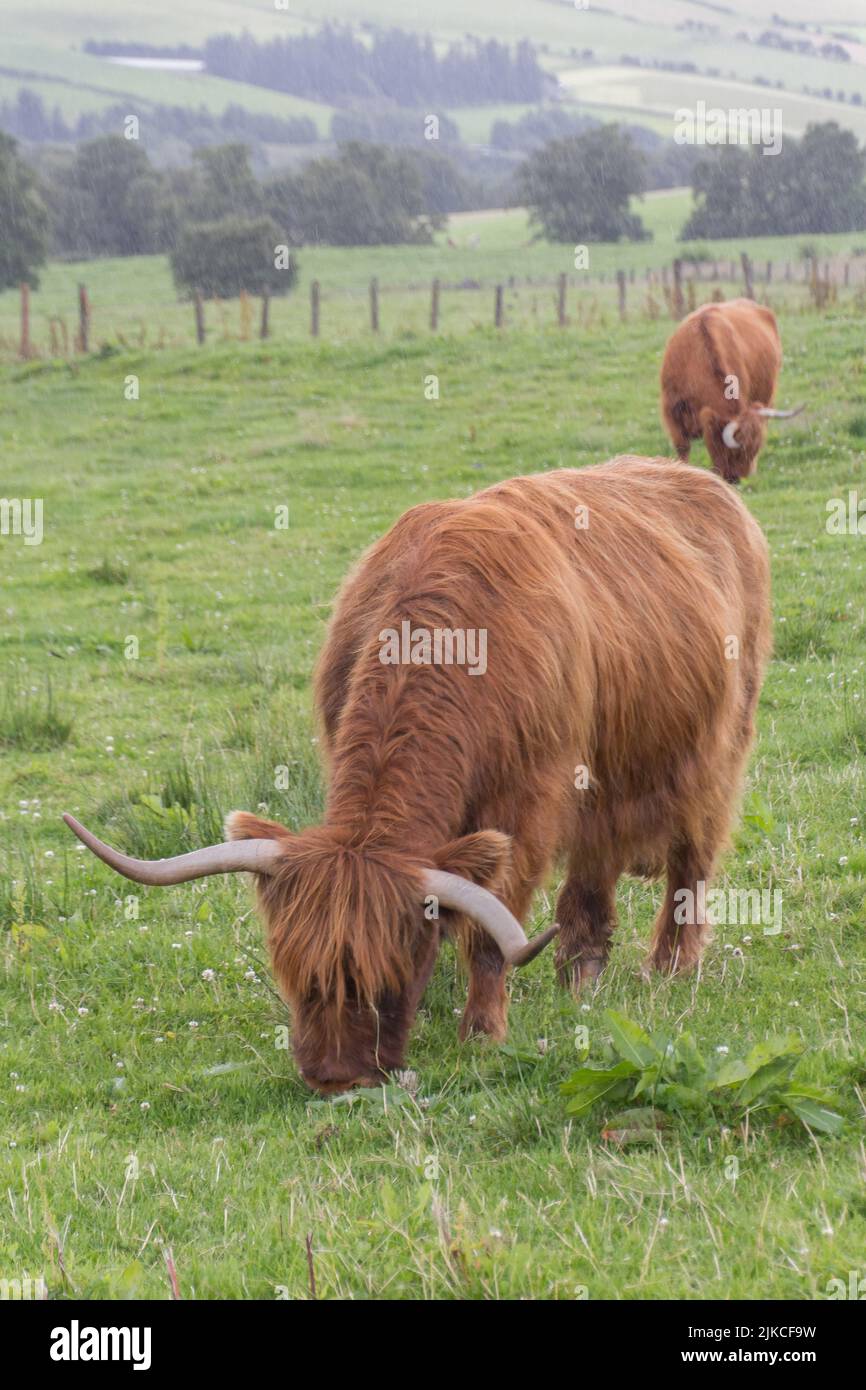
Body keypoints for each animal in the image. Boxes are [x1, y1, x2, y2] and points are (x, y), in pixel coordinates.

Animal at [65, 457, 772, 1095]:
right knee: (597, 865)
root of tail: (702, 481)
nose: (335, 1079)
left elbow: (492, 927)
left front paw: (482, 1031)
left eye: (390, 976)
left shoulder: (528, 803)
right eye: (294, 972)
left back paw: (669, 966)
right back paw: (582, 969)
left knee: (691, 859)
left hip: (716, 753)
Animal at [660, 298, 802, 484]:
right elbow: (682, 447)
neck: (695, 360)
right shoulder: (672, 411)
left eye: (755, 449)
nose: (737, 480)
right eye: (735, 451)